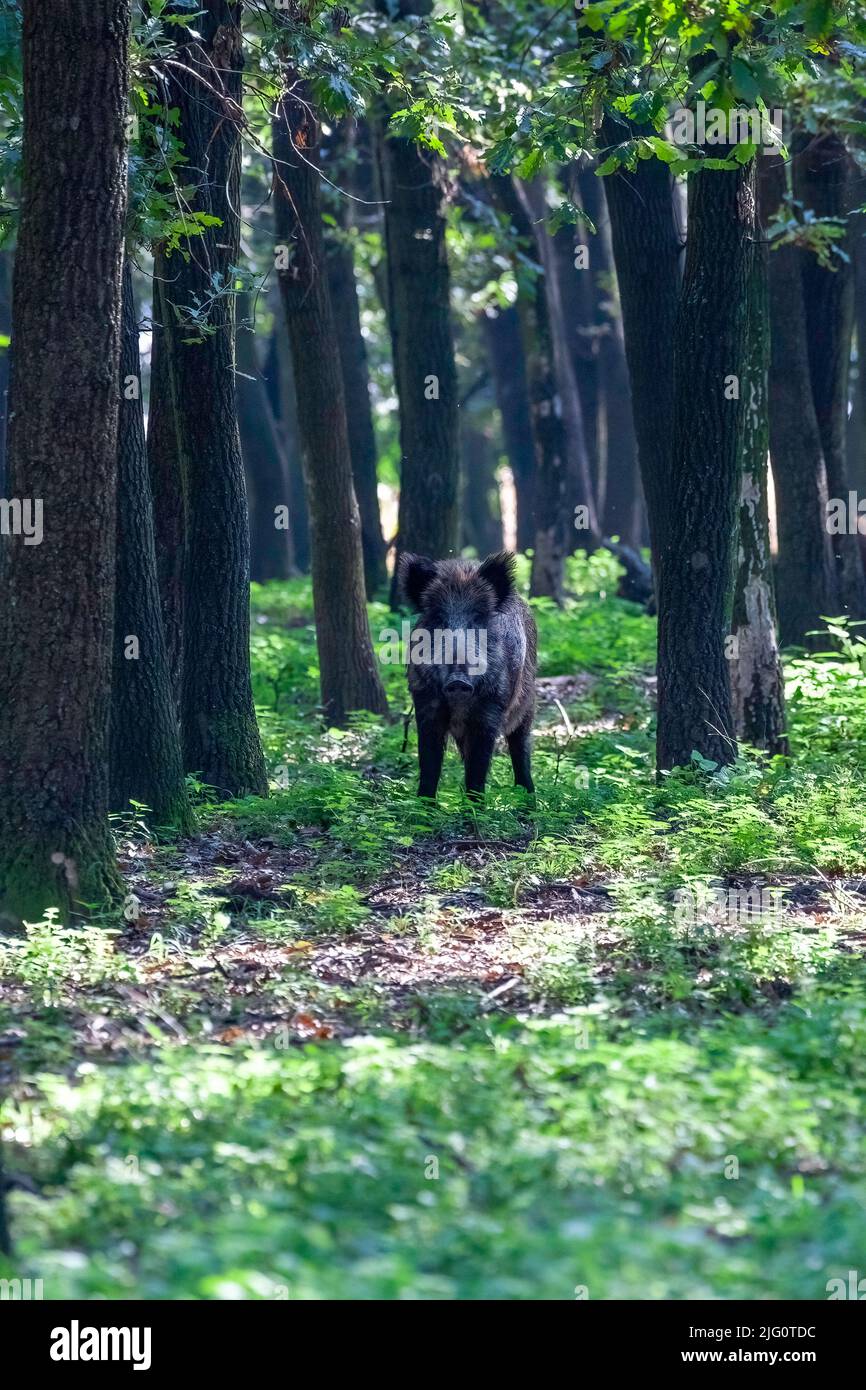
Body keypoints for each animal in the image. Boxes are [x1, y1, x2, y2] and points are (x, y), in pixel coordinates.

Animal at [397, 550, 537, 799]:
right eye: (439, 619)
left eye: (477, 619)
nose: (458, 680)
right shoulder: (425, 704)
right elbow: (429, 764)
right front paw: (423, 806)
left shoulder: (490, 710)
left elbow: (478, 770)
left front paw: (474, 807)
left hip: (527, 704)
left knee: (521, 749)